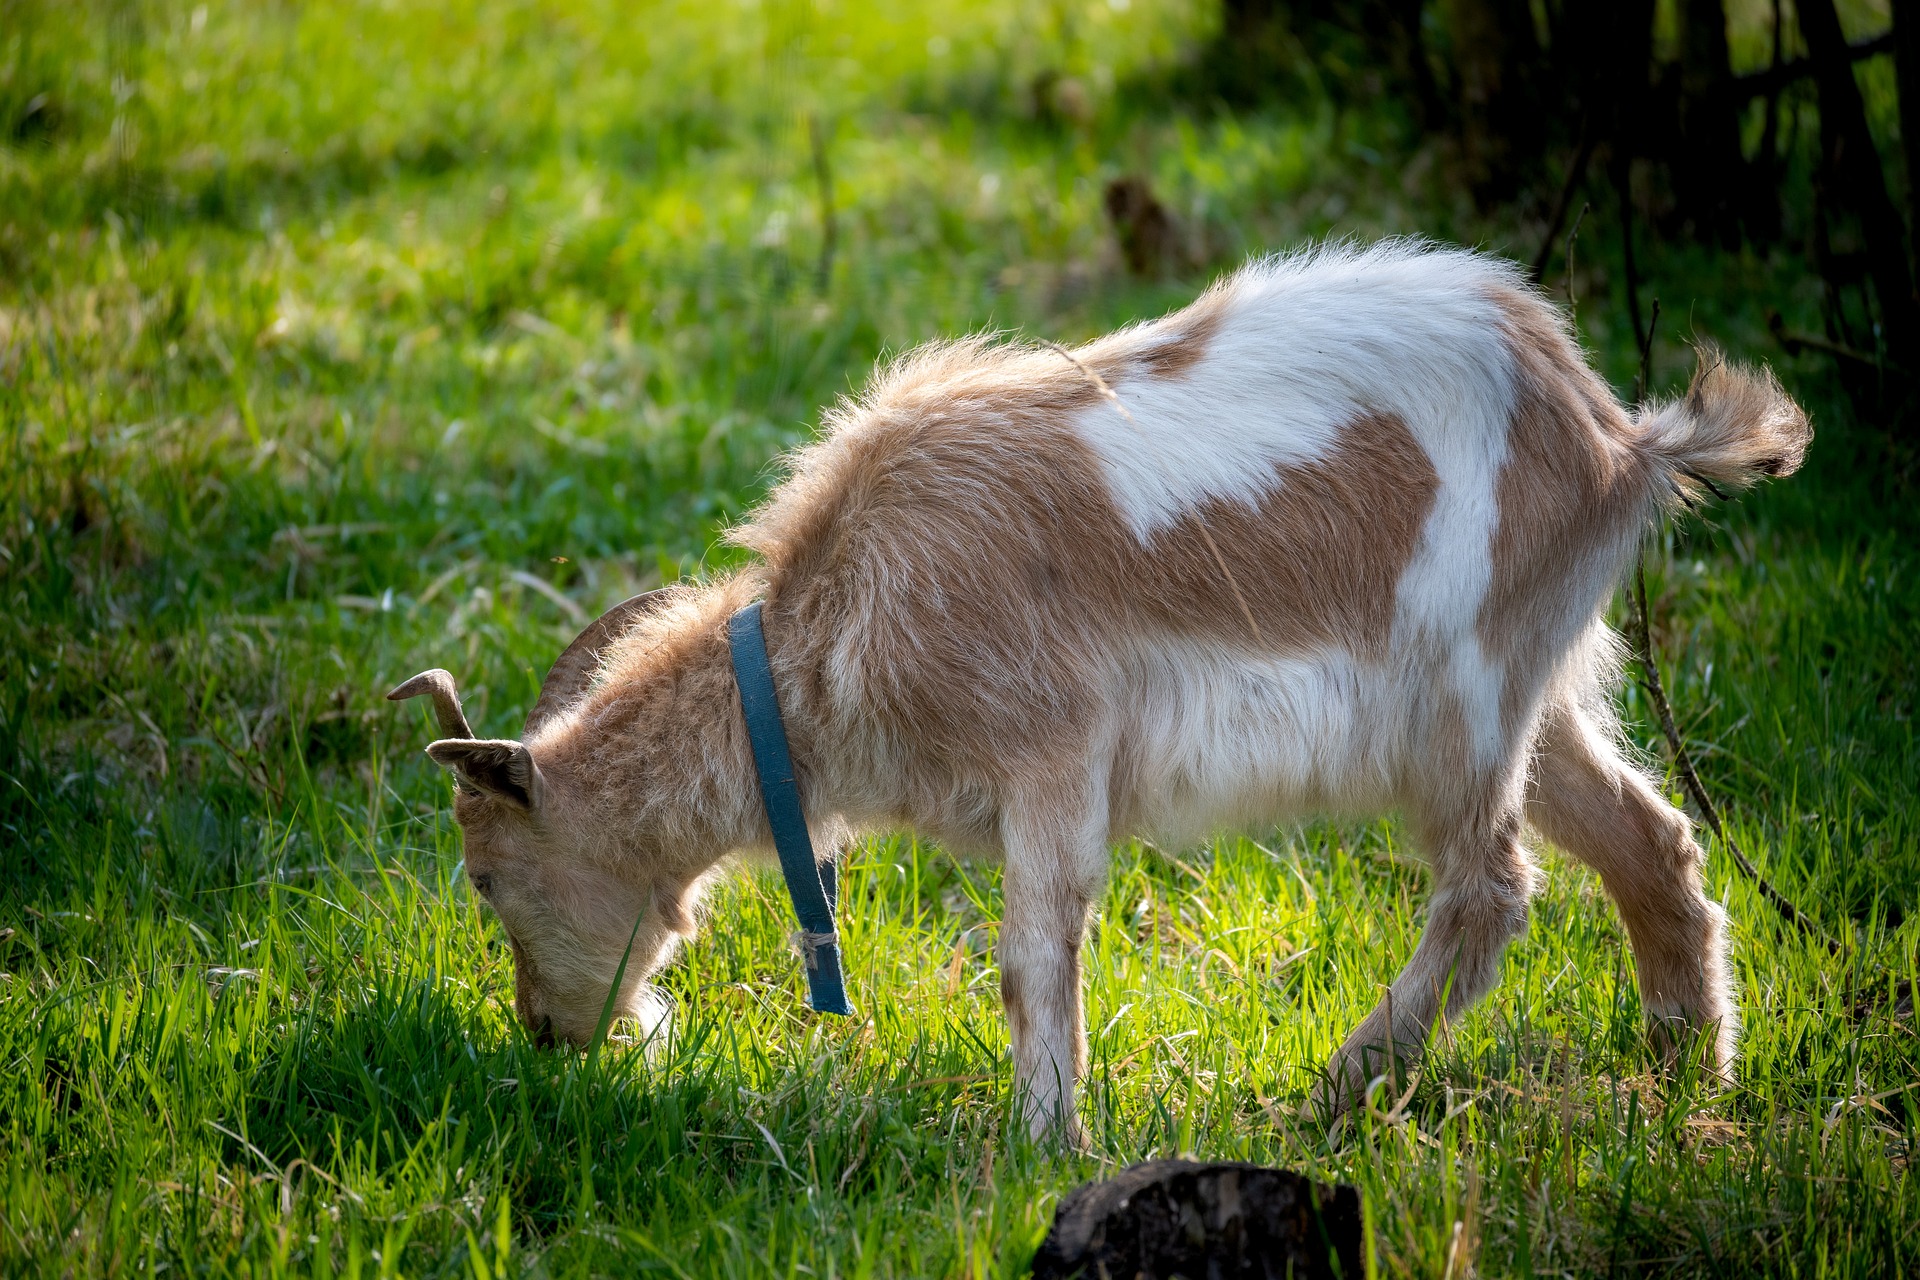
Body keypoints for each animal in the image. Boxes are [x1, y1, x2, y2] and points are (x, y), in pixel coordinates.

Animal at [391, 241, 1808, 1141]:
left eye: (485, 874)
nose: (546, 1034)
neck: (833, 623)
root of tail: (1617, 434)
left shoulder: (1054, 753)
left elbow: (1032, 957)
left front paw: (1042, 1144)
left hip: (1462, 700)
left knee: (1492, 889)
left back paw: (1330, 1093)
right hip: (1538, 691)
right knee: (1654, 841)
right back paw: (1690, 1080)